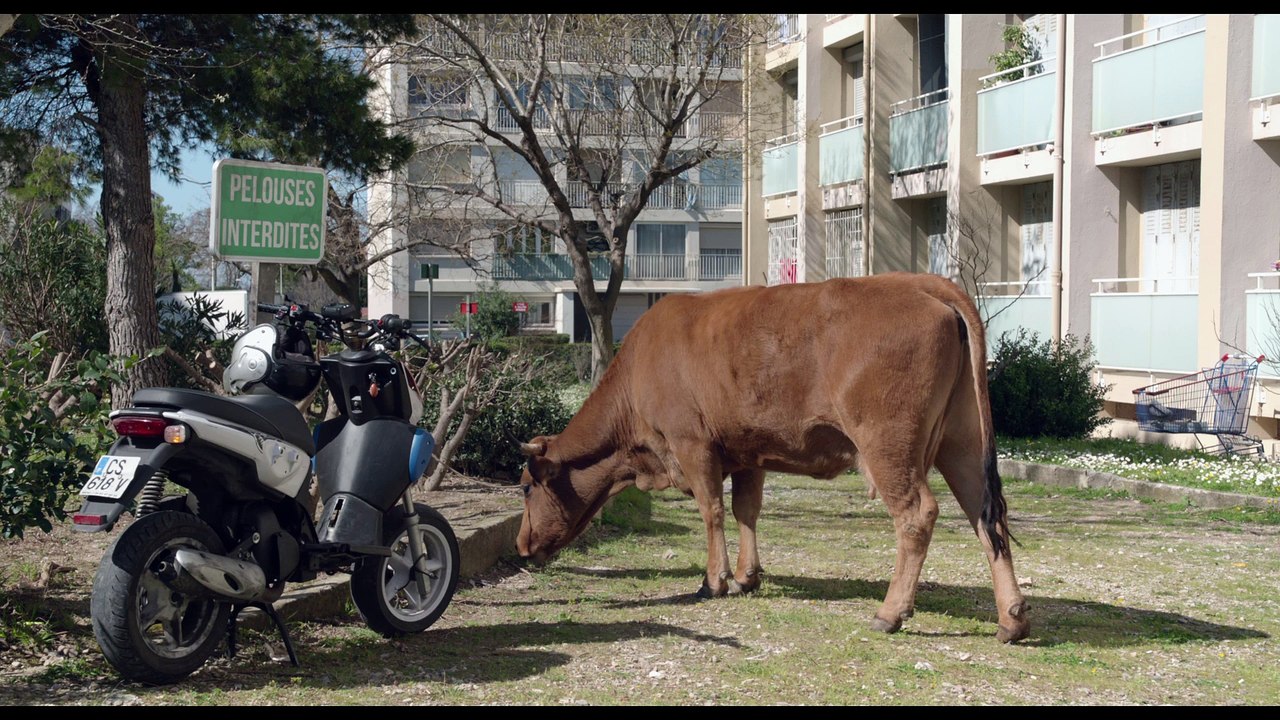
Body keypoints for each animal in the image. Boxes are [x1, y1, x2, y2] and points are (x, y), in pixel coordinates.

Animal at [516, 272, 1030, 643]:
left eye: (524, 487)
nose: (521, 545)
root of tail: (920, 281)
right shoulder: (747, 451)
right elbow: (746, 510)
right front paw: (747, 576)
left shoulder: (692, 444)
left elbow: (712, 511)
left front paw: (714, 581)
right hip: (962, 442)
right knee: (987, 516)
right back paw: (1012, 620)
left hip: (889, 444)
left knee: (917, 515)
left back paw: (891, 612)